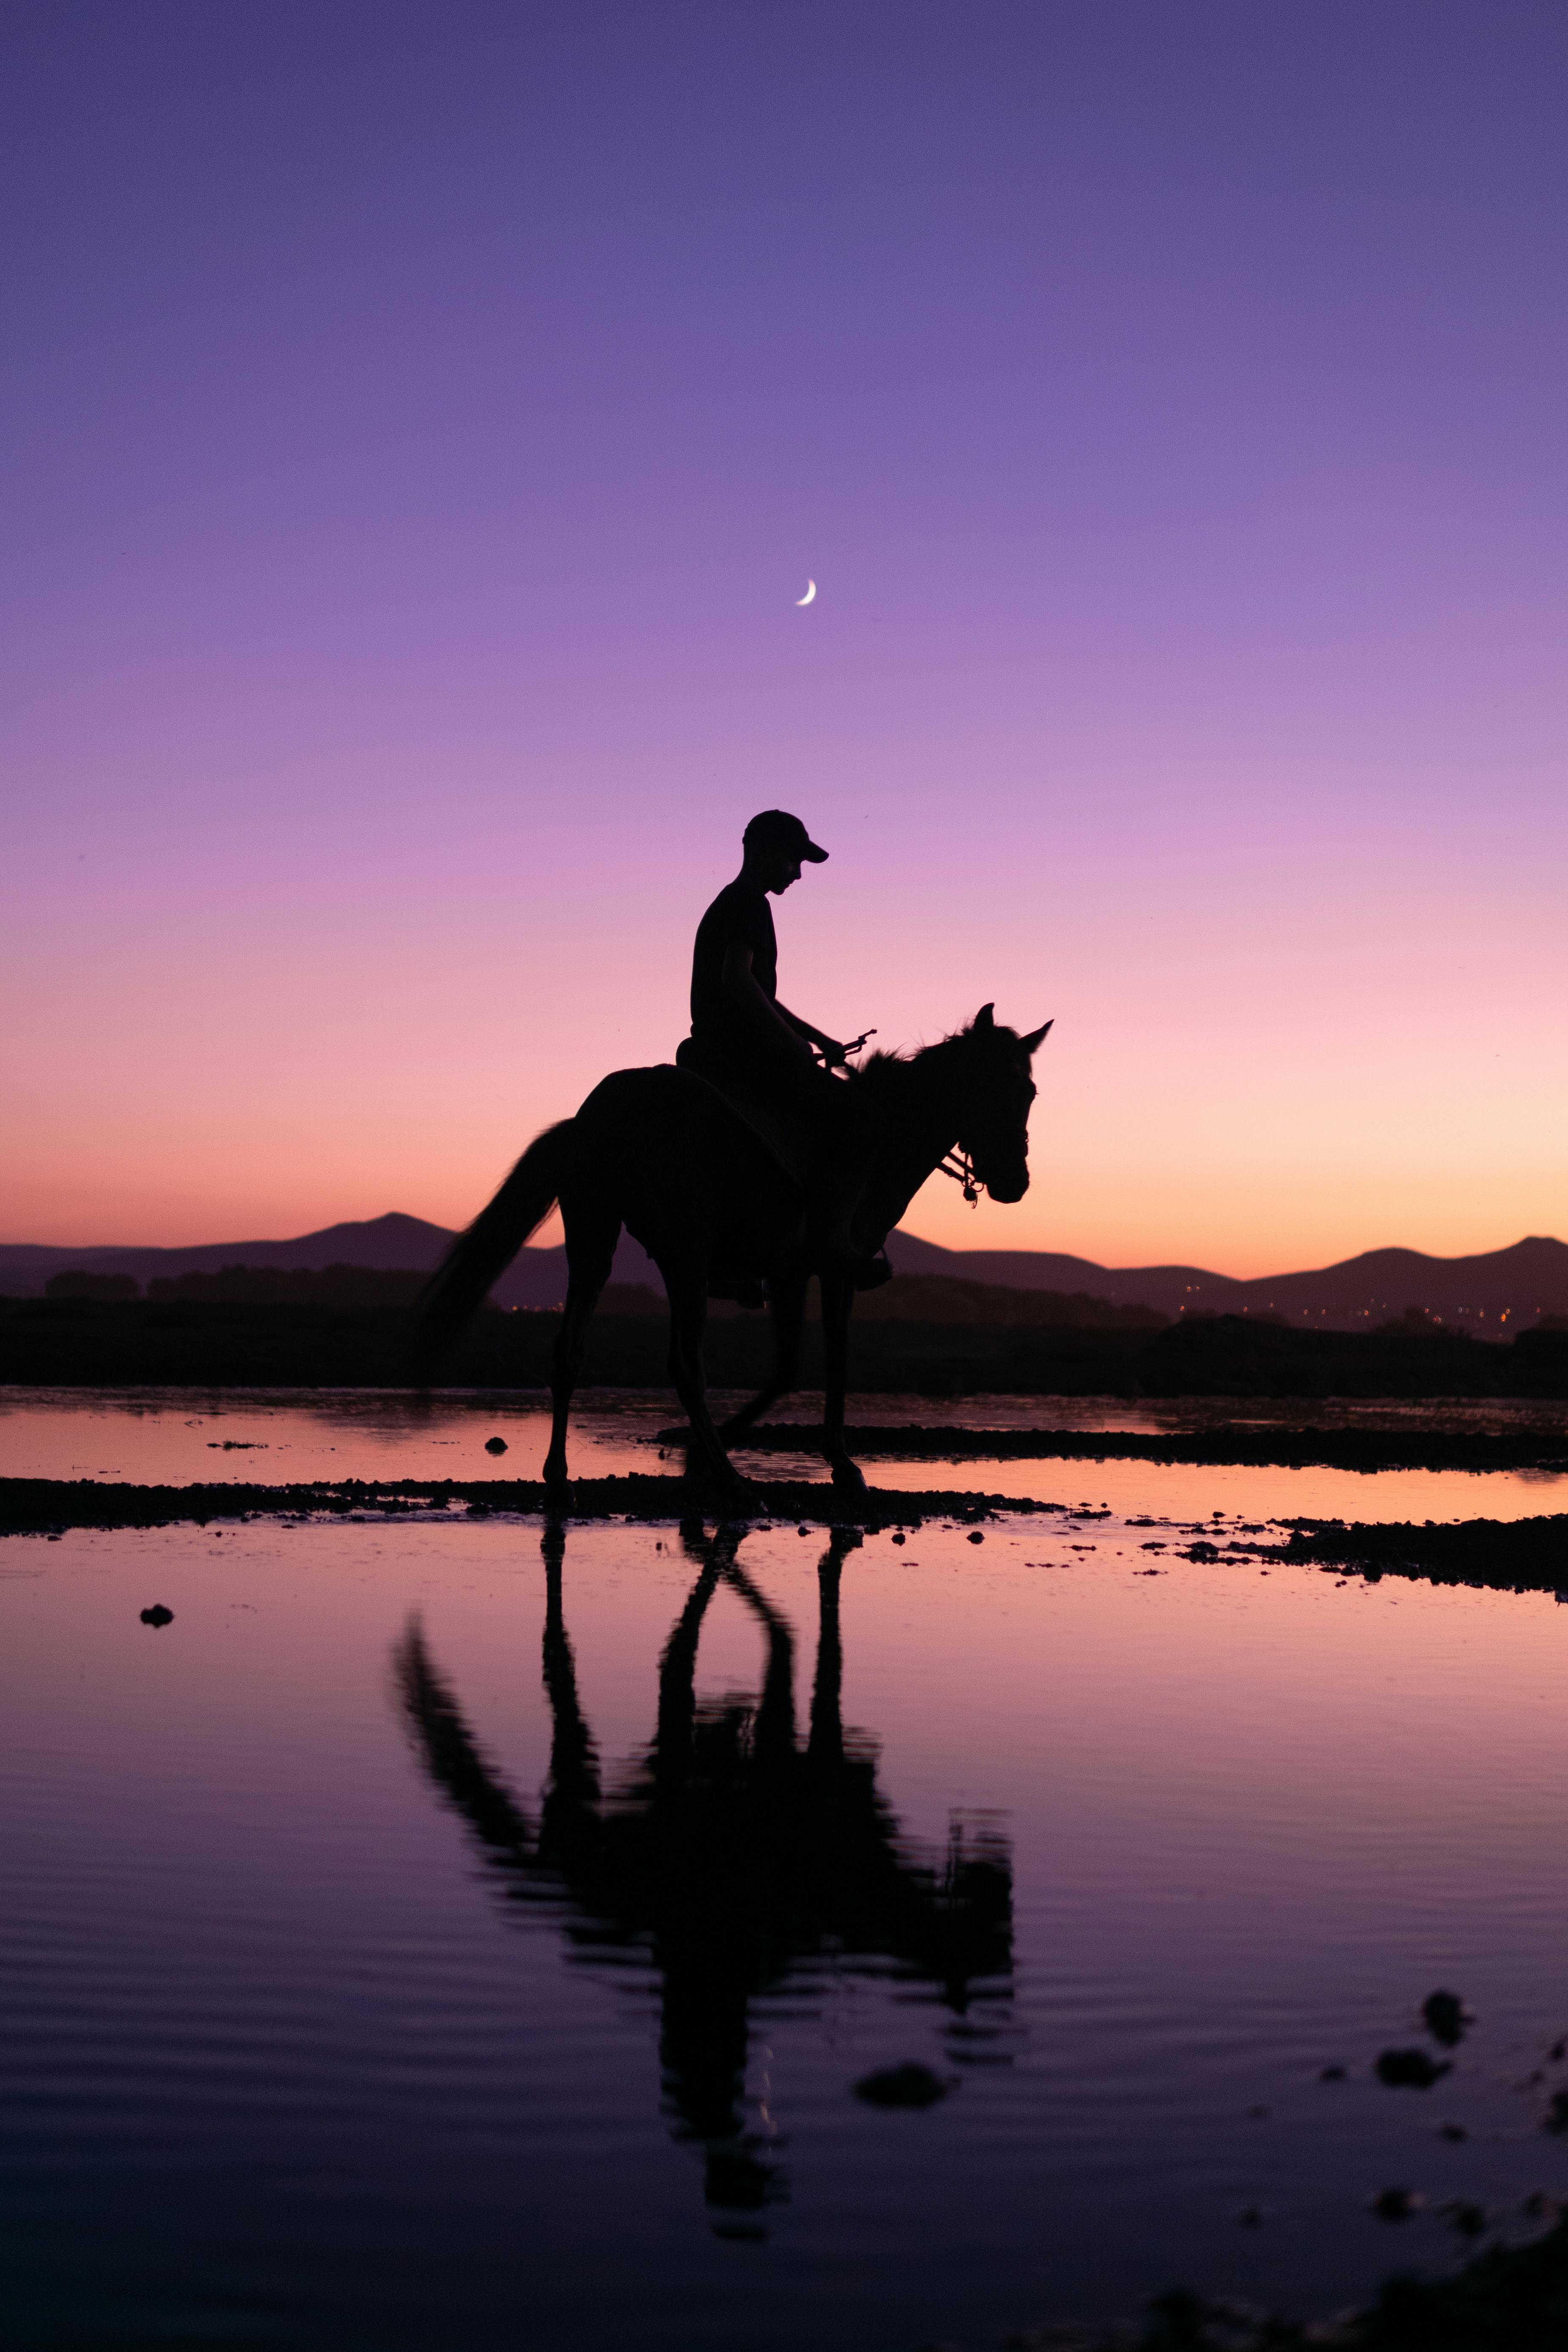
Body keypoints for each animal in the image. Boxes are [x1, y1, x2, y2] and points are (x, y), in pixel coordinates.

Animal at [412, 1003, 1050, 1495]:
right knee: (683, 1363)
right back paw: (729, 1477)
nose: (1014, 1183)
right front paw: (840, 1465)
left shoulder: (791, 1271)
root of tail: (598, 1117)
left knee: (569, 1350)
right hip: (684, 1255)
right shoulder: (837, 1266)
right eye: (988, 1089)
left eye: (1029, 1091)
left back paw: (560, 1474)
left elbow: (788, 1367)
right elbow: (834, 1361)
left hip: (594, 1240)